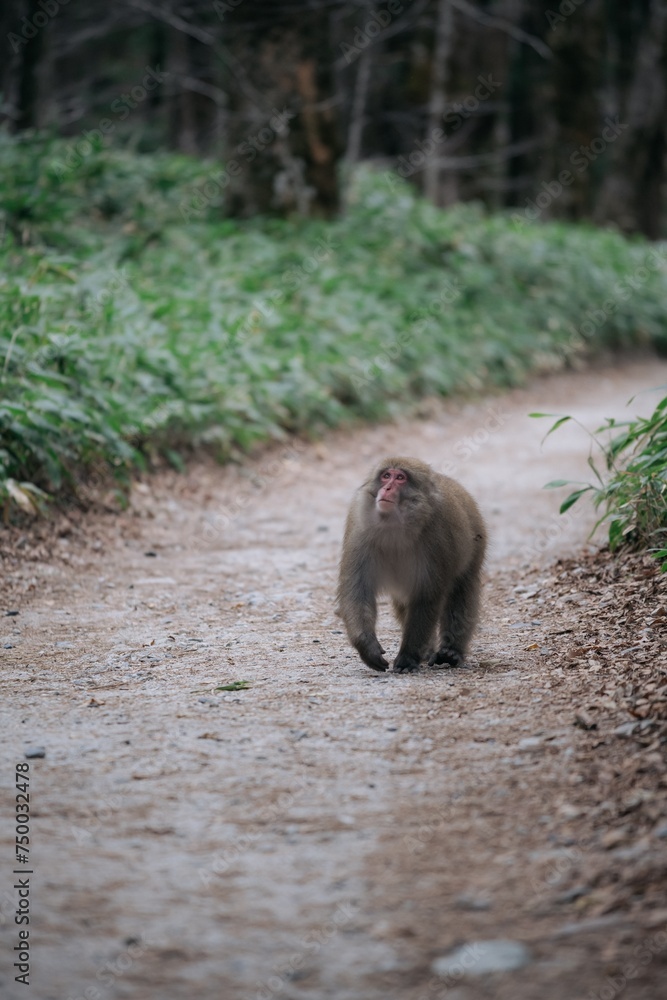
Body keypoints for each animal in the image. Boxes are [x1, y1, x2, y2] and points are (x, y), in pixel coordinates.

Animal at [336, 457, 486, 673]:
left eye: (400, 478)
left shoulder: (437, 533)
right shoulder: (359, 530)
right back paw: (428, 651)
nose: (387, 488)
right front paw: (367, 646)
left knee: (462, 590)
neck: (395, 523)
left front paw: (408, 657)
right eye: (386, 476)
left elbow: (426, 597)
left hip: (476, 545)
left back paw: (451, 652)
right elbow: (358, 590)